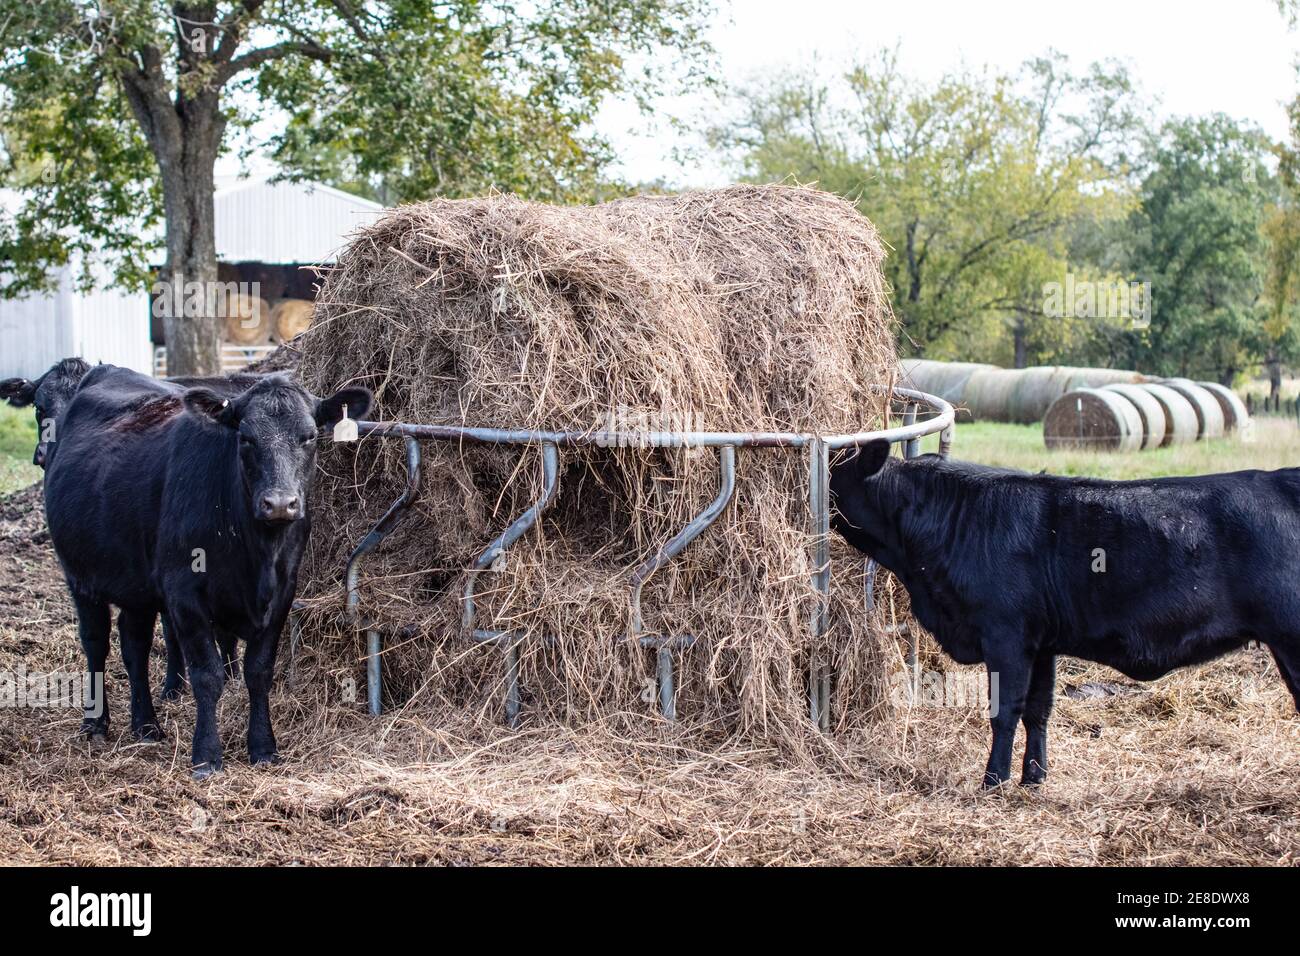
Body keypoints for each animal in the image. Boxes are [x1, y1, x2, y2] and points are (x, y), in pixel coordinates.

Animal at [43, 364, 370, 777]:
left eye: (309, 436)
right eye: (245, 438)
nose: (280, 503)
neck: (255, 551)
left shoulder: (283, 591)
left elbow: (259, 671)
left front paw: (263, 746)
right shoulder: (184, 593)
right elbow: (207, 674)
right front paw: (207, 754)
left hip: (137, 586)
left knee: (134, 646)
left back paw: (146, 725)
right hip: (80, 576)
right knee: (95, 642)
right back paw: (96, 723)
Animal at [829, 439, 1300, 789]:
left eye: (835, 465)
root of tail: (1280, 477)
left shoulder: (1006, 635)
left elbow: (1005, 710)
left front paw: (993, 782)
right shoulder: (1042, 643)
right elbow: (1039, 709)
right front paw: (1033, 779)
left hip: (1289, 637)